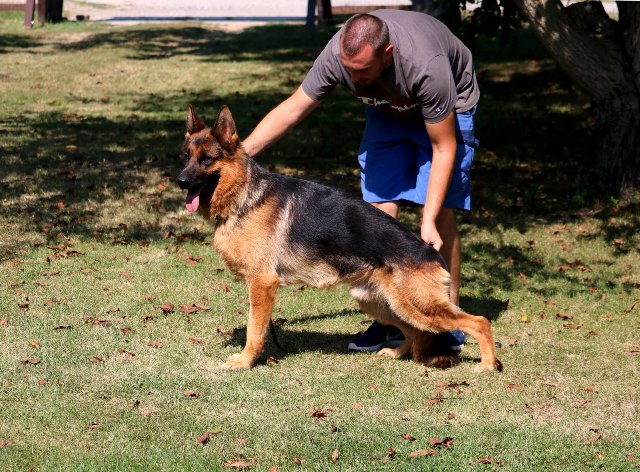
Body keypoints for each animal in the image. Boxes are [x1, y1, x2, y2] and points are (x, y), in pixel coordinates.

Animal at [178, 106, 502, 372]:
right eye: (186, 157)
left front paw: (245, 362)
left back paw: (487, 364)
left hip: (420, 307)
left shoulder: (262, 284)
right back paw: (397, 353)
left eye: (207, 160)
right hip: (381, 303)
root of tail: (430, 251)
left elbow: (254, 329)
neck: (244, 195)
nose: (180, 181)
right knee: (415, 331)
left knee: (478, 322)